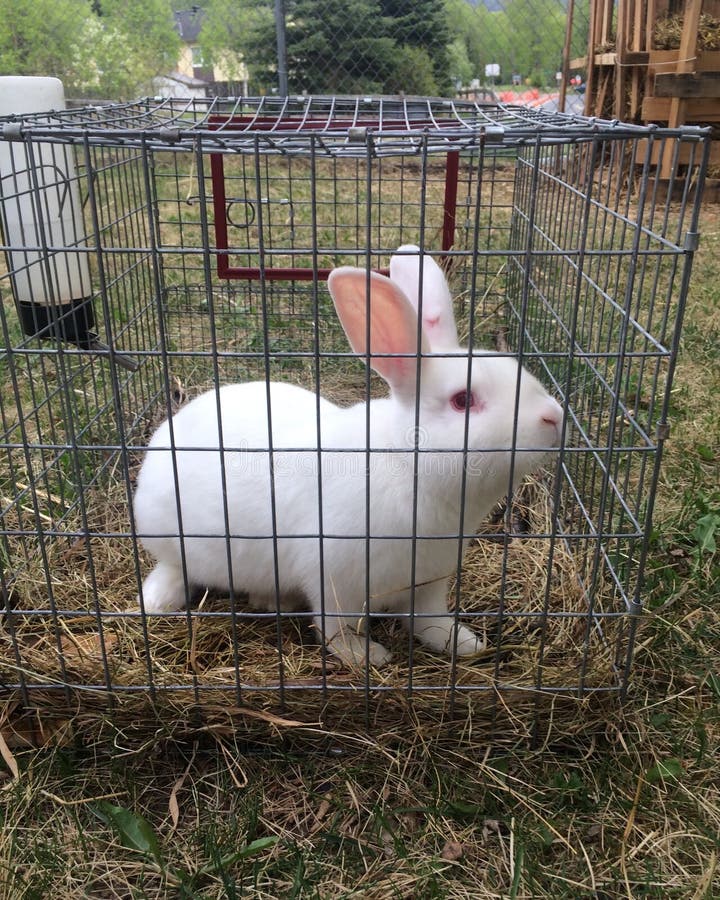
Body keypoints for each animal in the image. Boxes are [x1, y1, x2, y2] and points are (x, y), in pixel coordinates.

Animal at [133, 256, 563, 668]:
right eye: (463, 401)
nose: (554, 416)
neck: (410, 468)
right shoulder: (334, 578)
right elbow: (335, 626)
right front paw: (366, 655)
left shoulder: (429, 580)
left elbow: (429, 620)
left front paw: (463, 642)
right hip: (170, 537)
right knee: (173, 568)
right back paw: (158, 600)